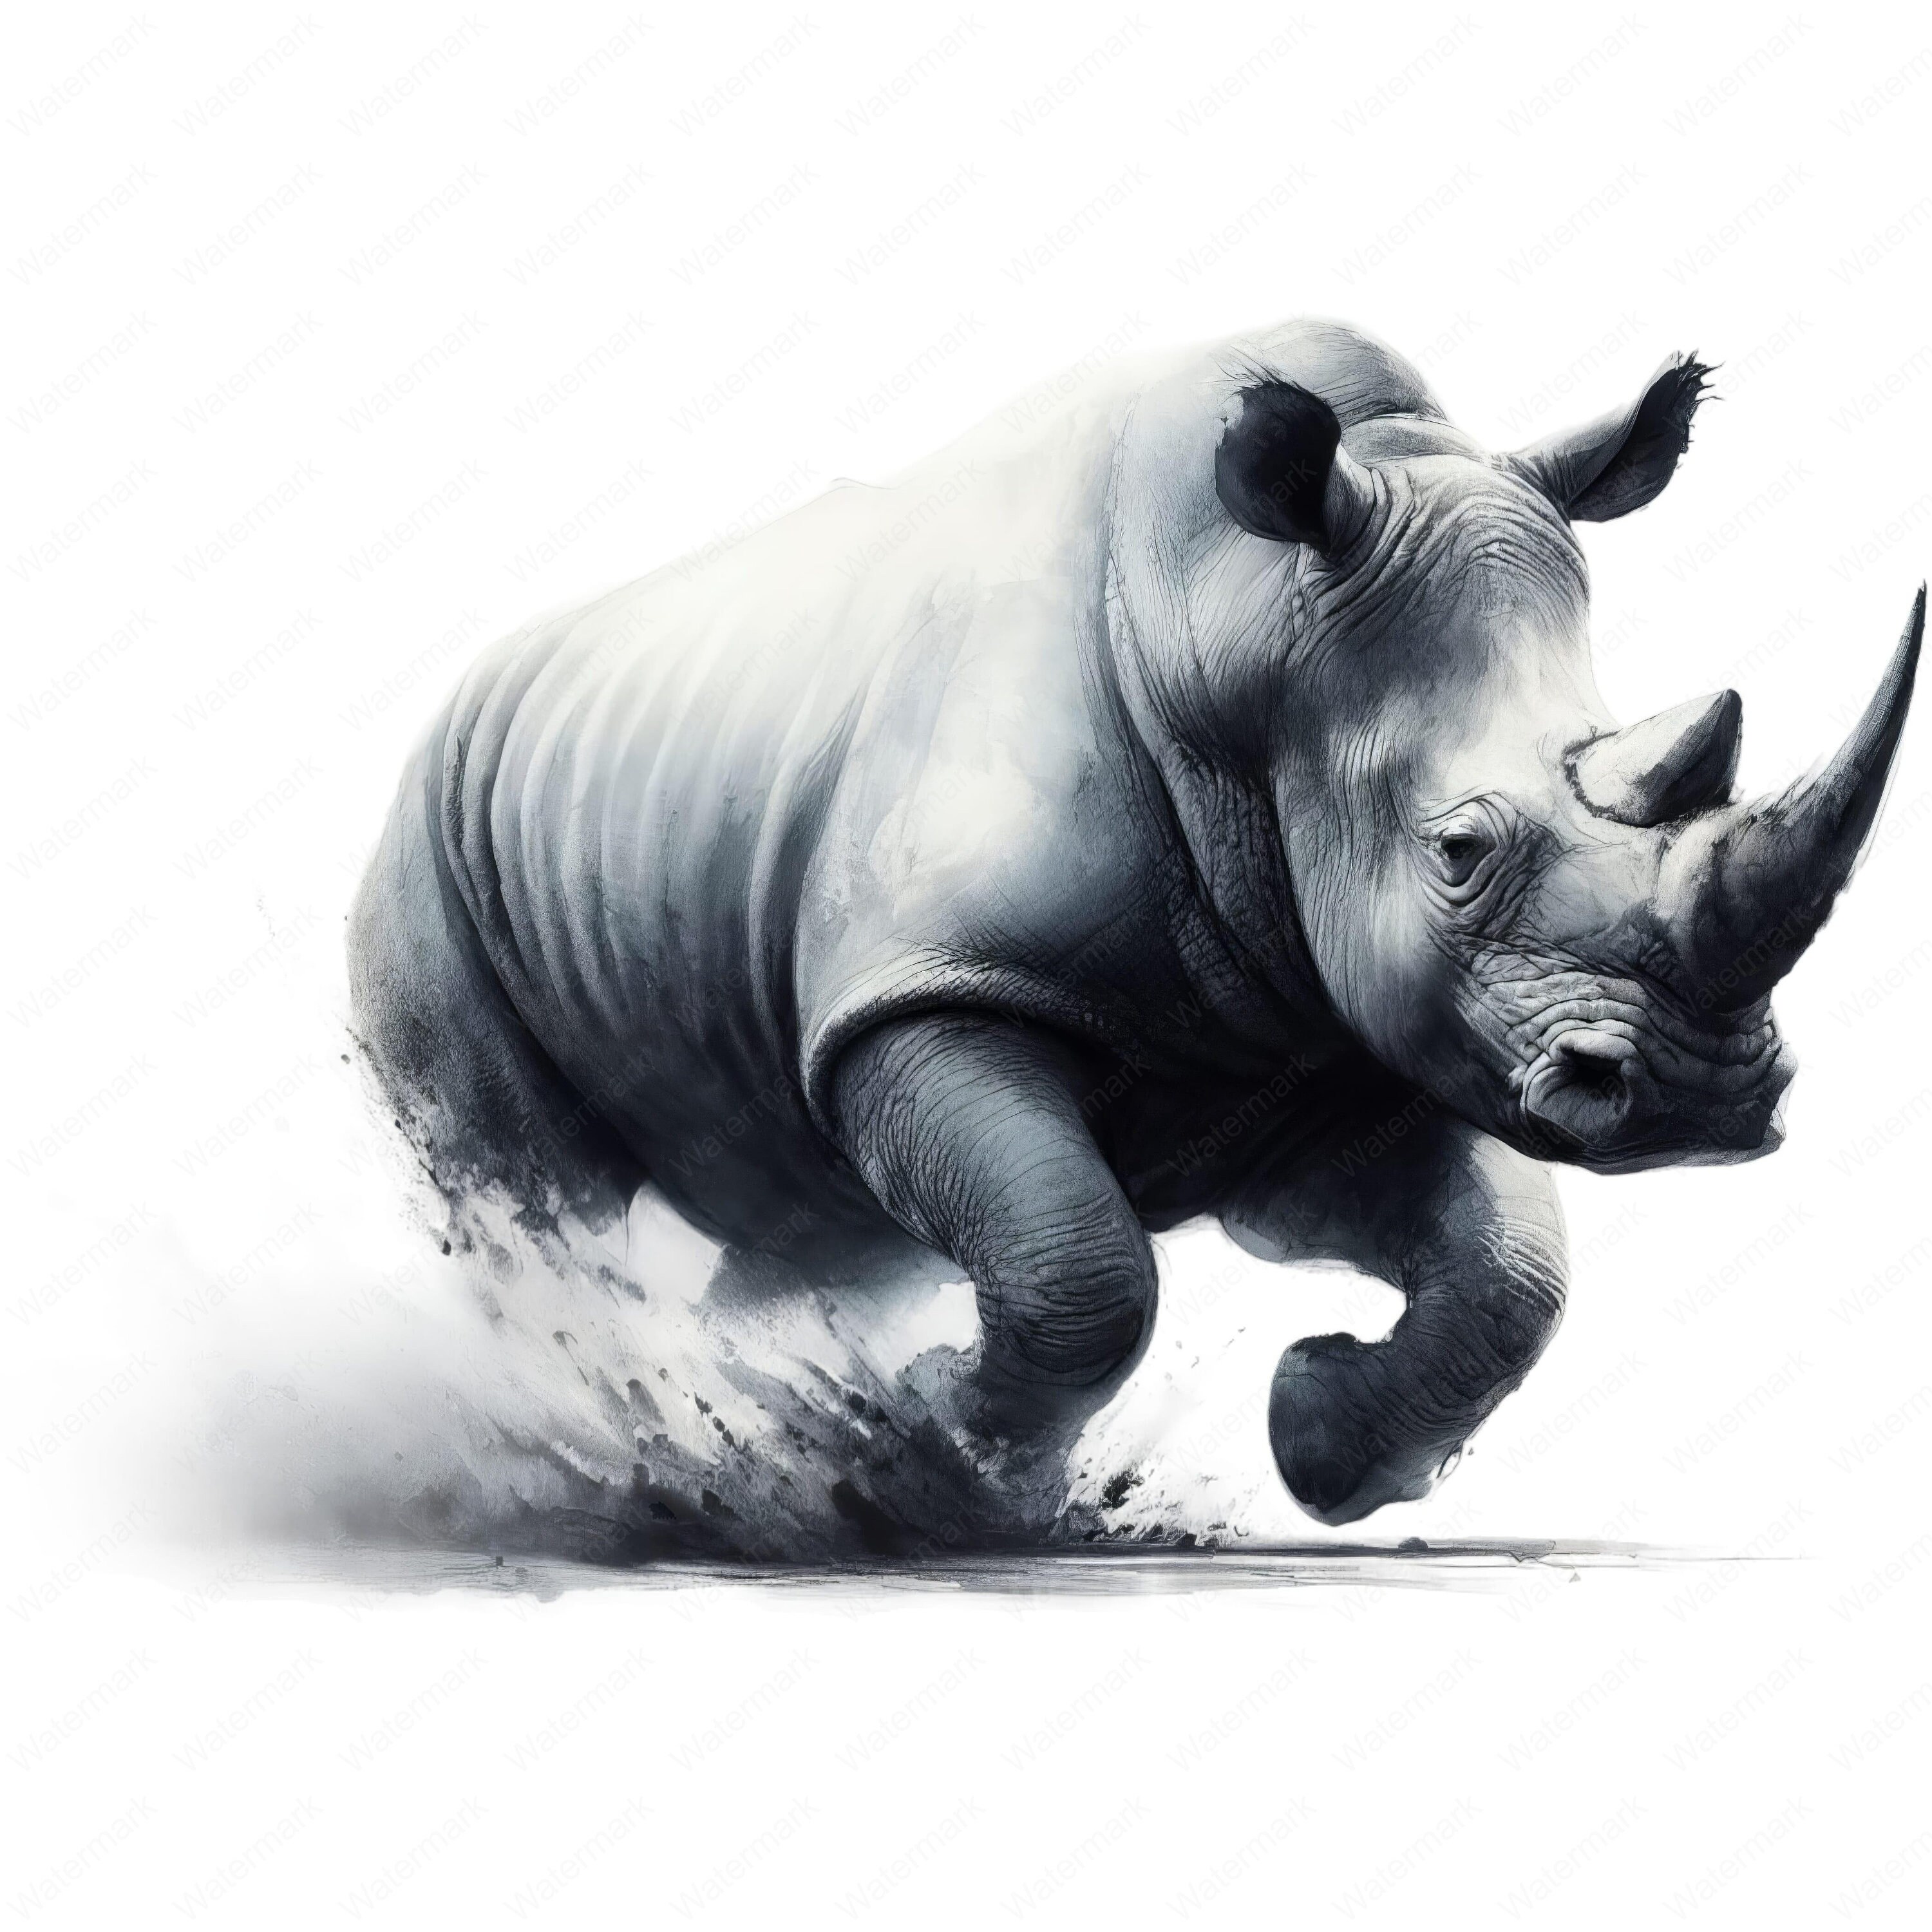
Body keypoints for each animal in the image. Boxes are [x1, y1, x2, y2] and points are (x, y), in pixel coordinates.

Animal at [349, 318, 1920, 1532]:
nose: (1698, 1100)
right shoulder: (928, 988)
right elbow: (1082, 1262)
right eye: (1461, 851)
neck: (1241, 631)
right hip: (429, 849)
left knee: (795, 1232)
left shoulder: (1334, 1036)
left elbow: (1512, 1276)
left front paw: (1319, 1437)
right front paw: (934, 1471)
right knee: (534, 1200)